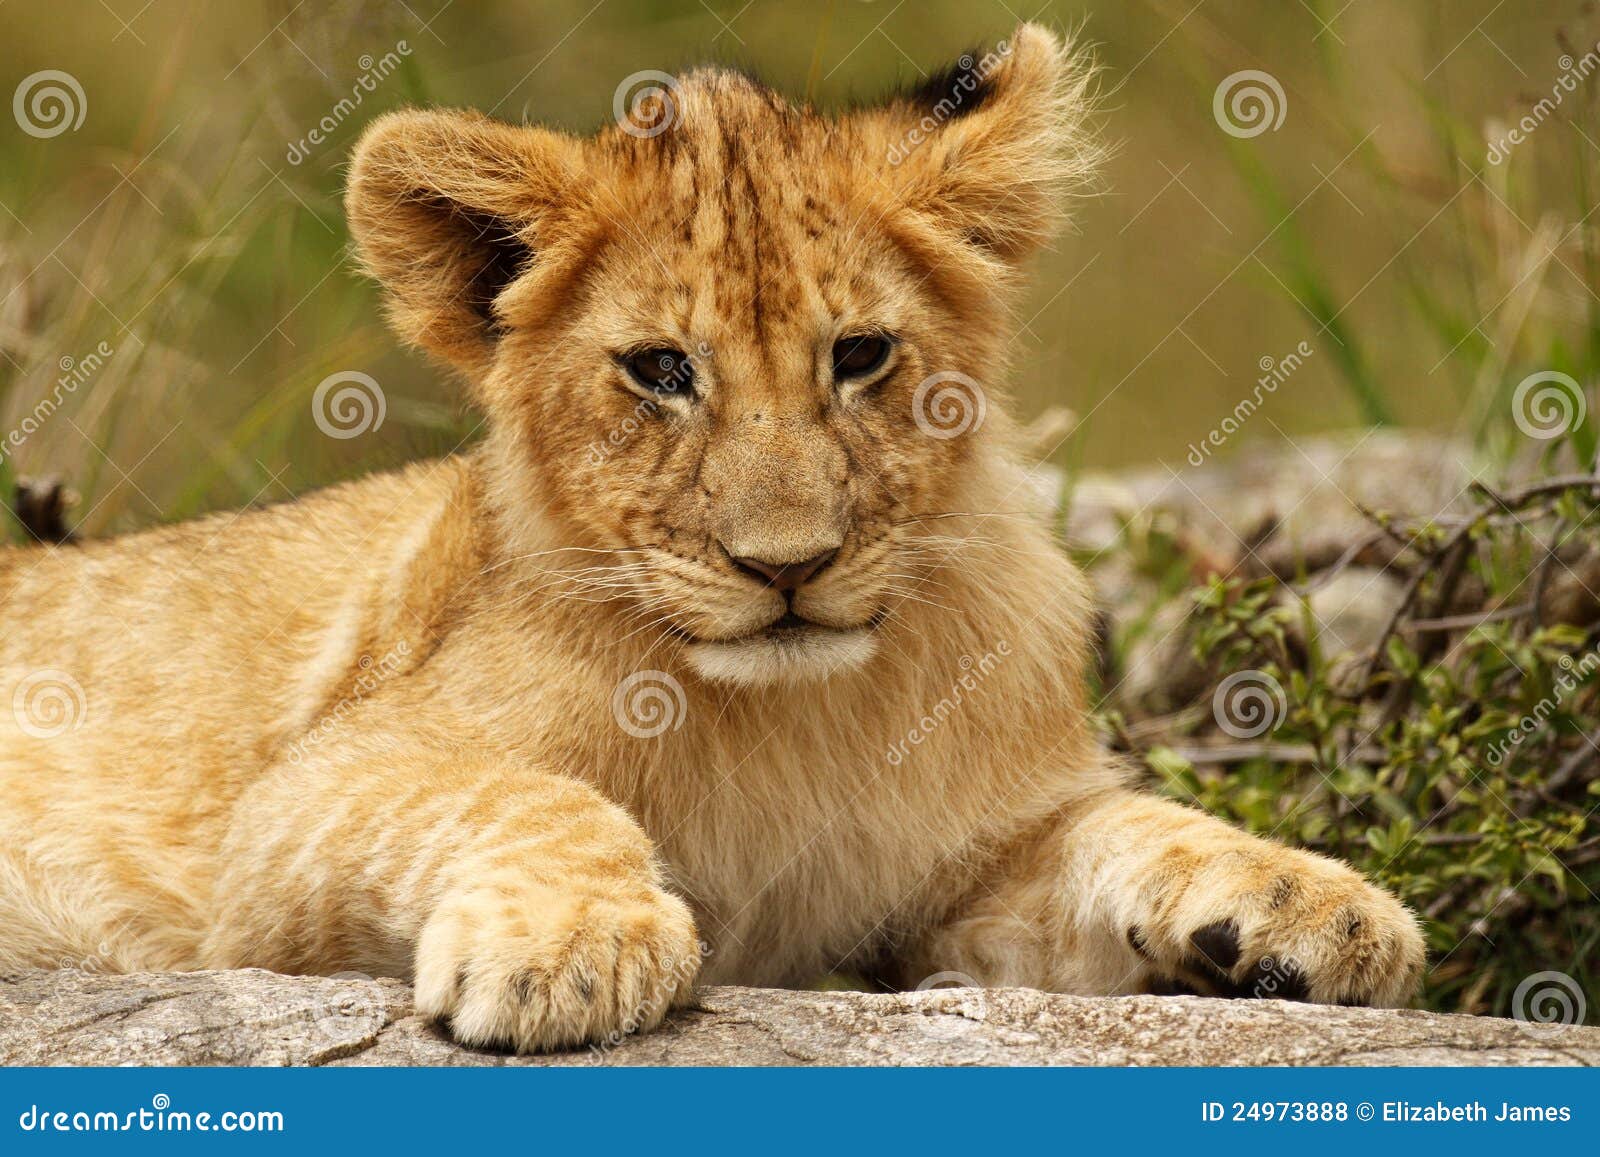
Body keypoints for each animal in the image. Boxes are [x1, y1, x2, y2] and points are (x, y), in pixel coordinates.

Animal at [0, 24, 1423, 1053]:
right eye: (661, 370)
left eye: (859, 356)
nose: (785, 566)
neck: (787, 717)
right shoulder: (287, 826)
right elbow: (522, 788)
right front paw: (575, 946)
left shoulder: (948, 897)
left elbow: (1125, 826)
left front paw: (1317, 903)